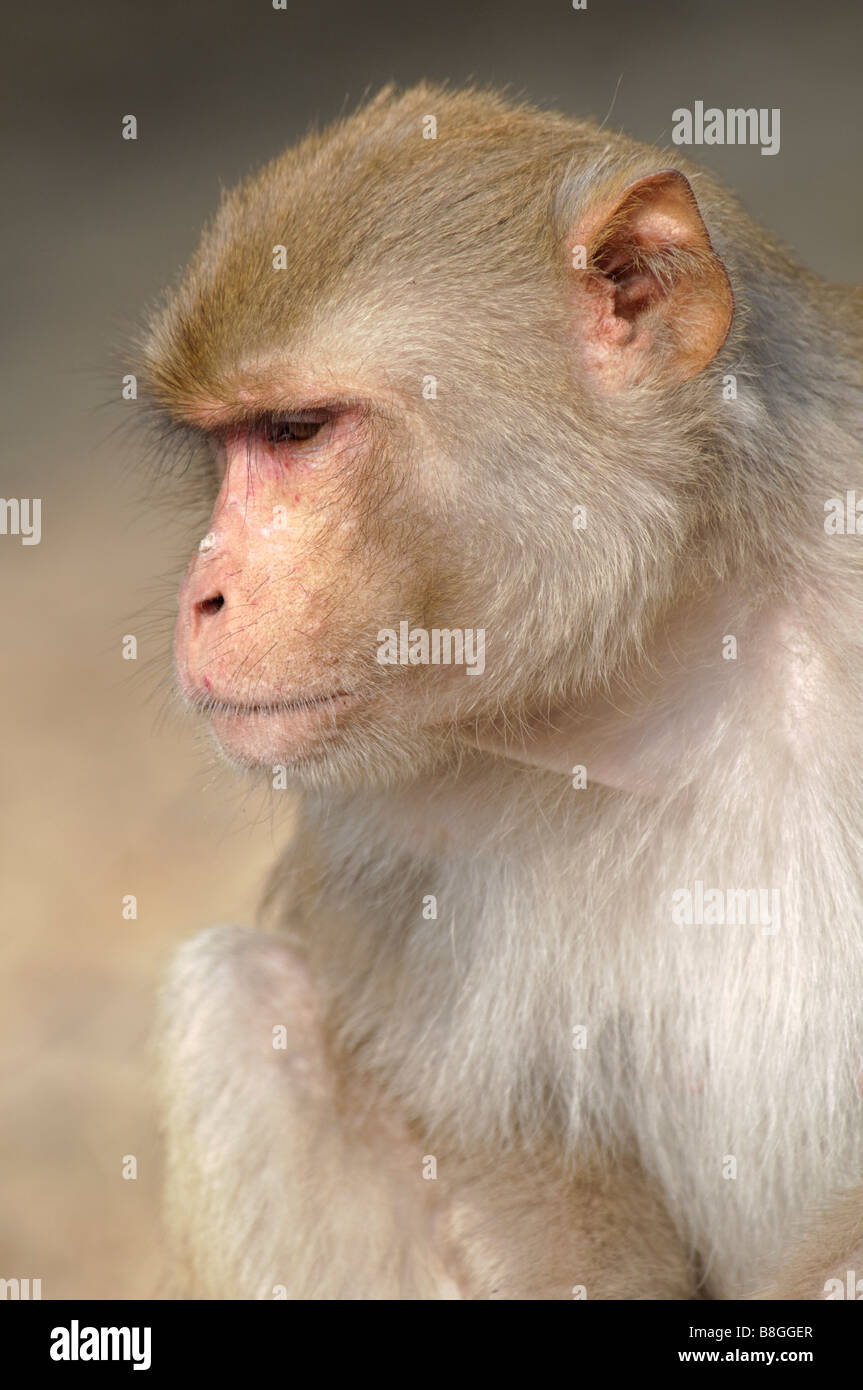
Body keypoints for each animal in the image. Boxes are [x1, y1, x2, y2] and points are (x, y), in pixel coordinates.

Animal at [141, 83, 863, 1300]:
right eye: (227, 449)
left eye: (294, 432)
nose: (202, 595)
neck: (685, 650)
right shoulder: (390, 821)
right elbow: (528, 1178)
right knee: (237, 1001)